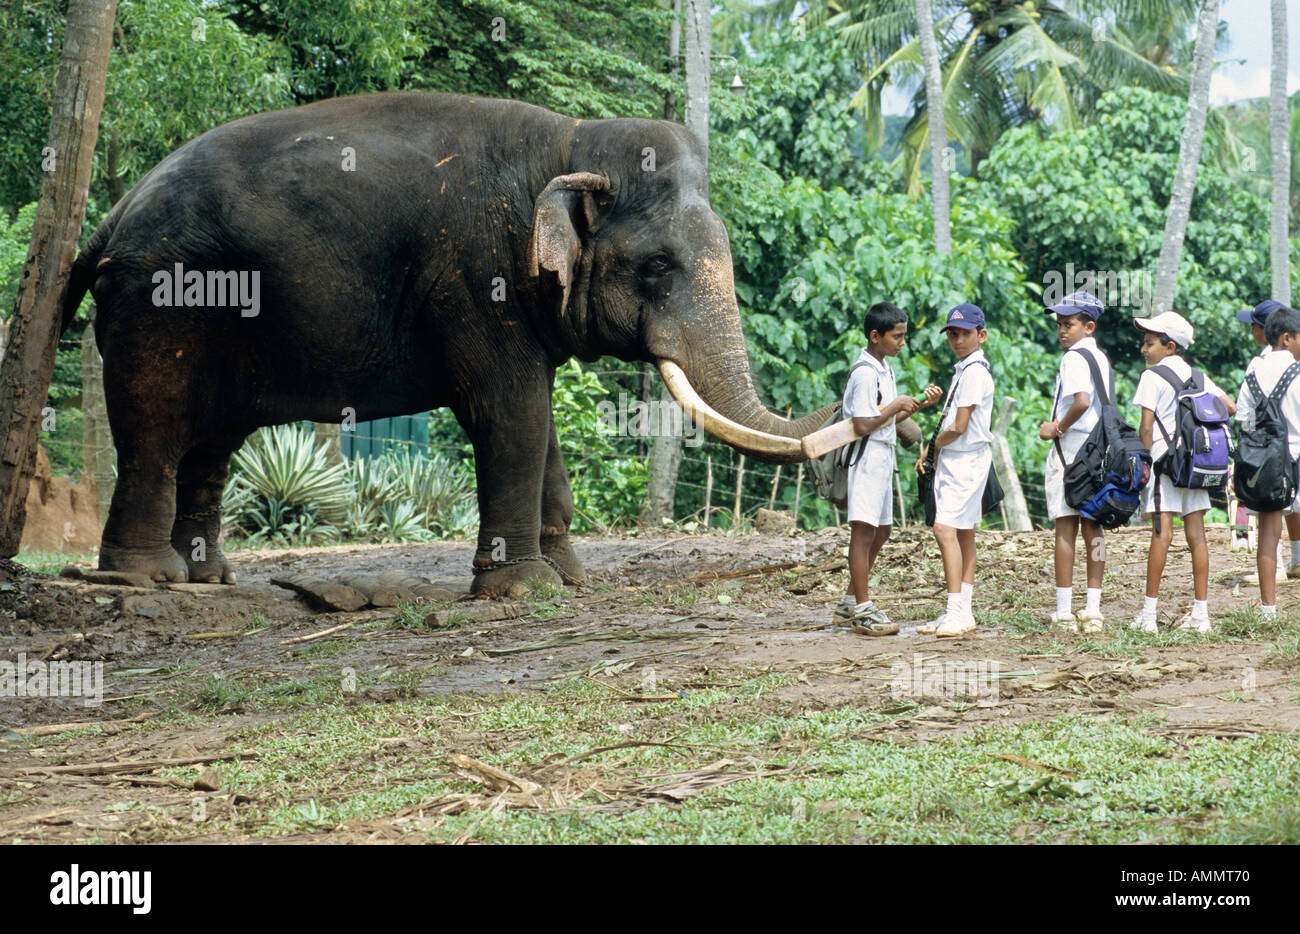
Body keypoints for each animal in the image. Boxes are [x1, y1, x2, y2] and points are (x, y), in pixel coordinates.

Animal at [62, 92, 833, 595]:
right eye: (657, 267)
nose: (837, 414)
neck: (570, 144)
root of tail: (115, 213)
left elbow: (538, 419)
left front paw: (569, 579)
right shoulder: (475, 274)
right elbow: (509, 411)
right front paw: (524, 591)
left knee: (211, 441)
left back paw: (208, 576)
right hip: (161, 301)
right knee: (157, 425)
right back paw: (148, 578)